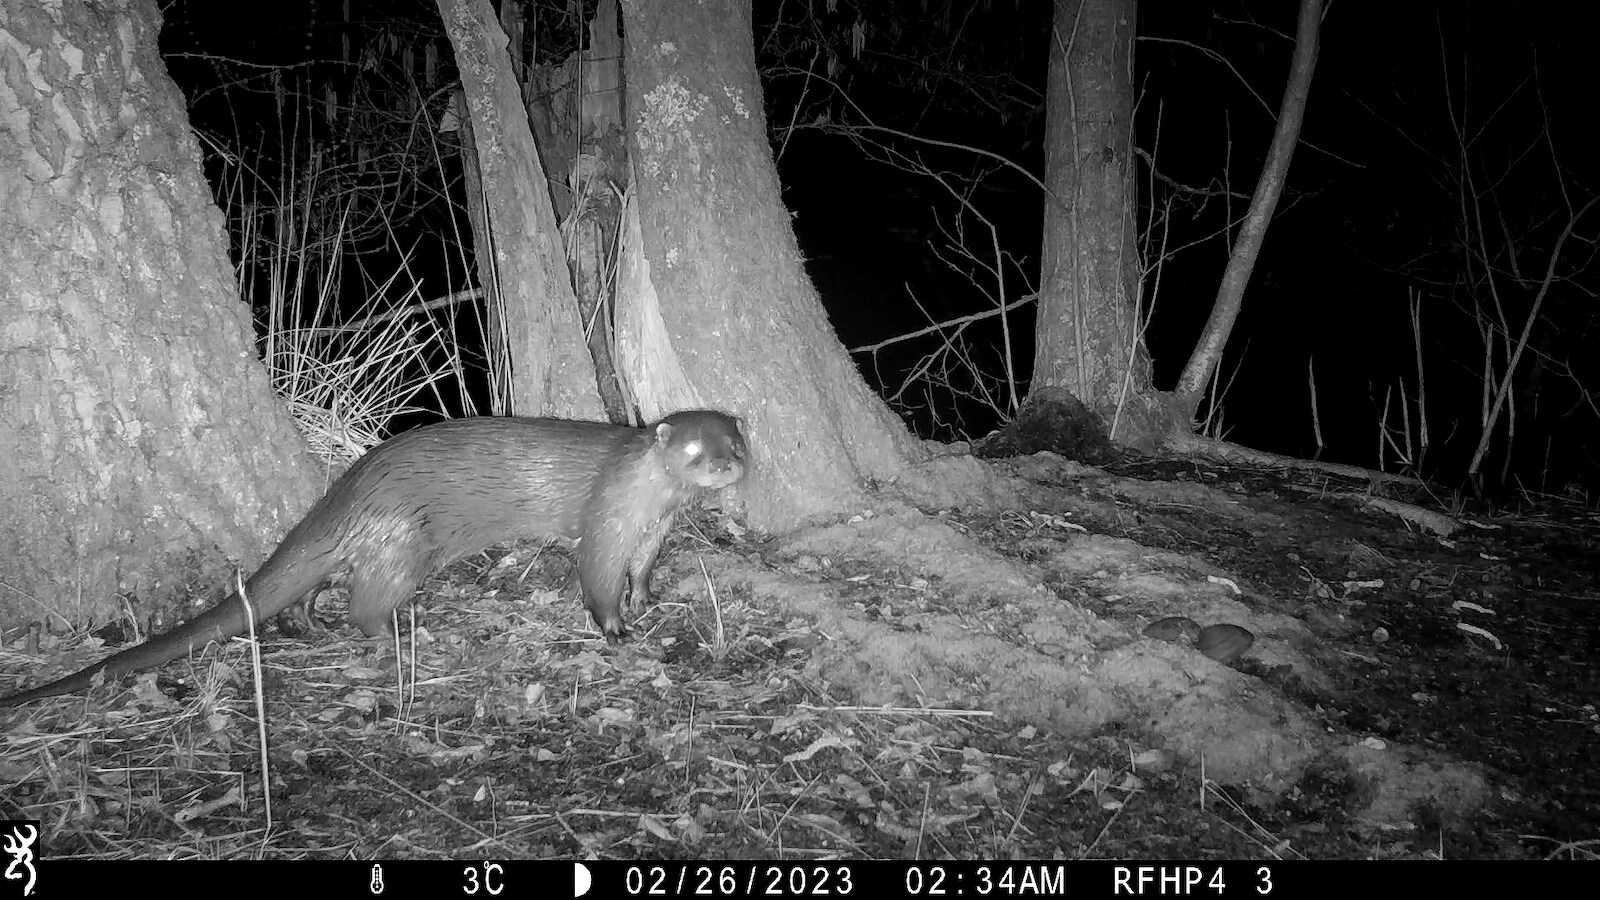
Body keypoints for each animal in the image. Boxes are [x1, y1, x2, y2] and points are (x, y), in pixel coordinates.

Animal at [0, 410, 748, 707]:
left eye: (733, 443)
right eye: (693, 450)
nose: (725, 466)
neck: (645, 498)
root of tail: (349, 490)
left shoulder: (652, 531)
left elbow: (643, 568)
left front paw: (648, 598)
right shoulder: (606, 521)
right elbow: (595, 577)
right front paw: (616, 627)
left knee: (310, 586)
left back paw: (305, 623)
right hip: (406, 541)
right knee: (365, 601)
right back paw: (399, 635)